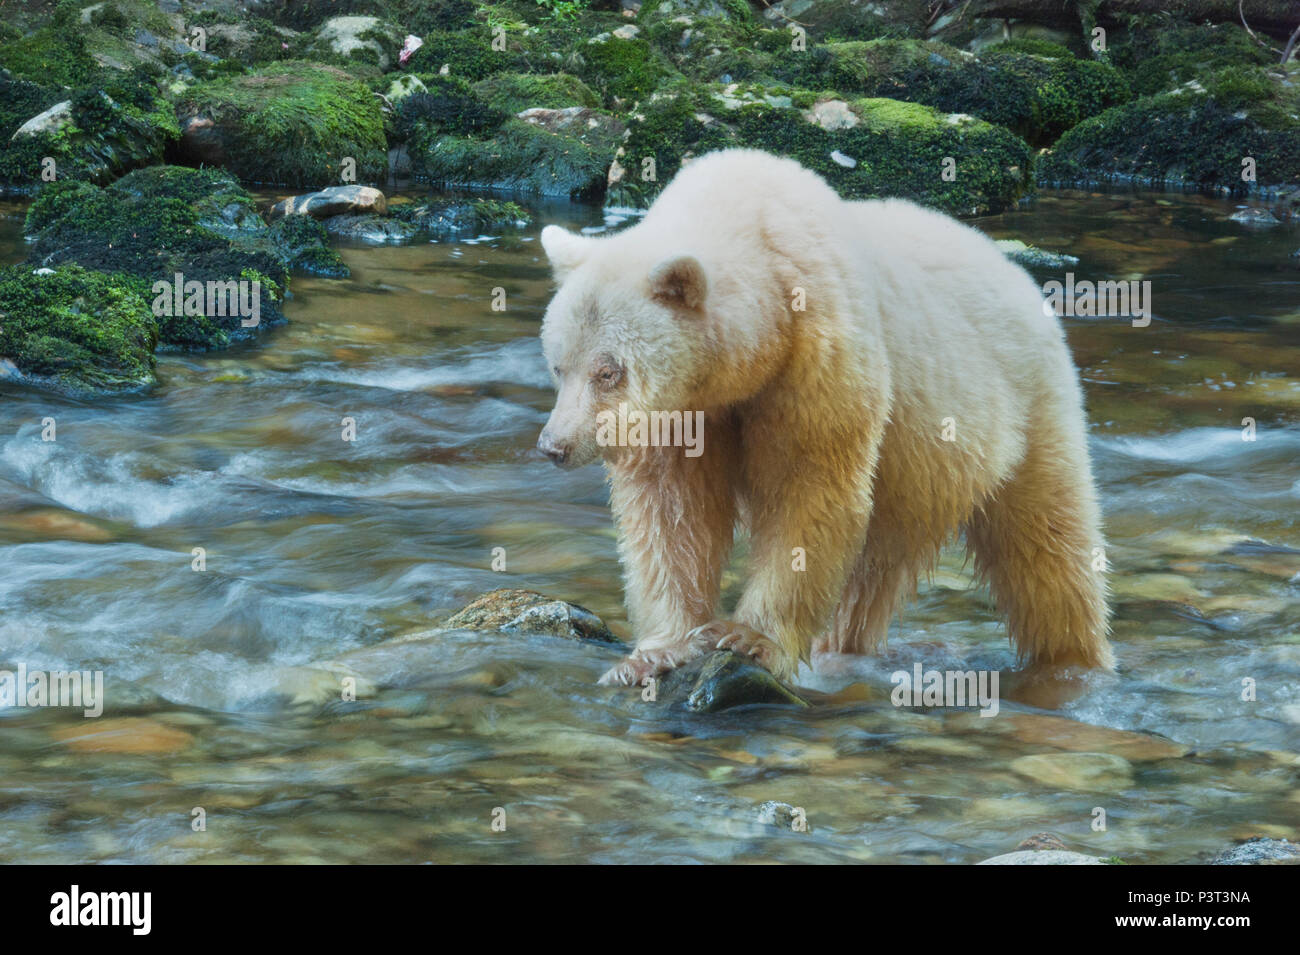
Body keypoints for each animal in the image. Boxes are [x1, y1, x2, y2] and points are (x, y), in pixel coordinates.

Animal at [536, 148, 1113, 687]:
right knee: (872, 575)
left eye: (608, 371)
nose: (553, 446)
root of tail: (1012, 268)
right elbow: (671, 514)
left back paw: (1074, 658)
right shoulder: (682, 414)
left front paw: (749, 639)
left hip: (1027, 403)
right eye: (558, 364)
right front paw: (653, 654)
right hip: (915, 481)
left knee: (1049, 545)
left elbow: (808, 487)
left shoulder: (816, 356)